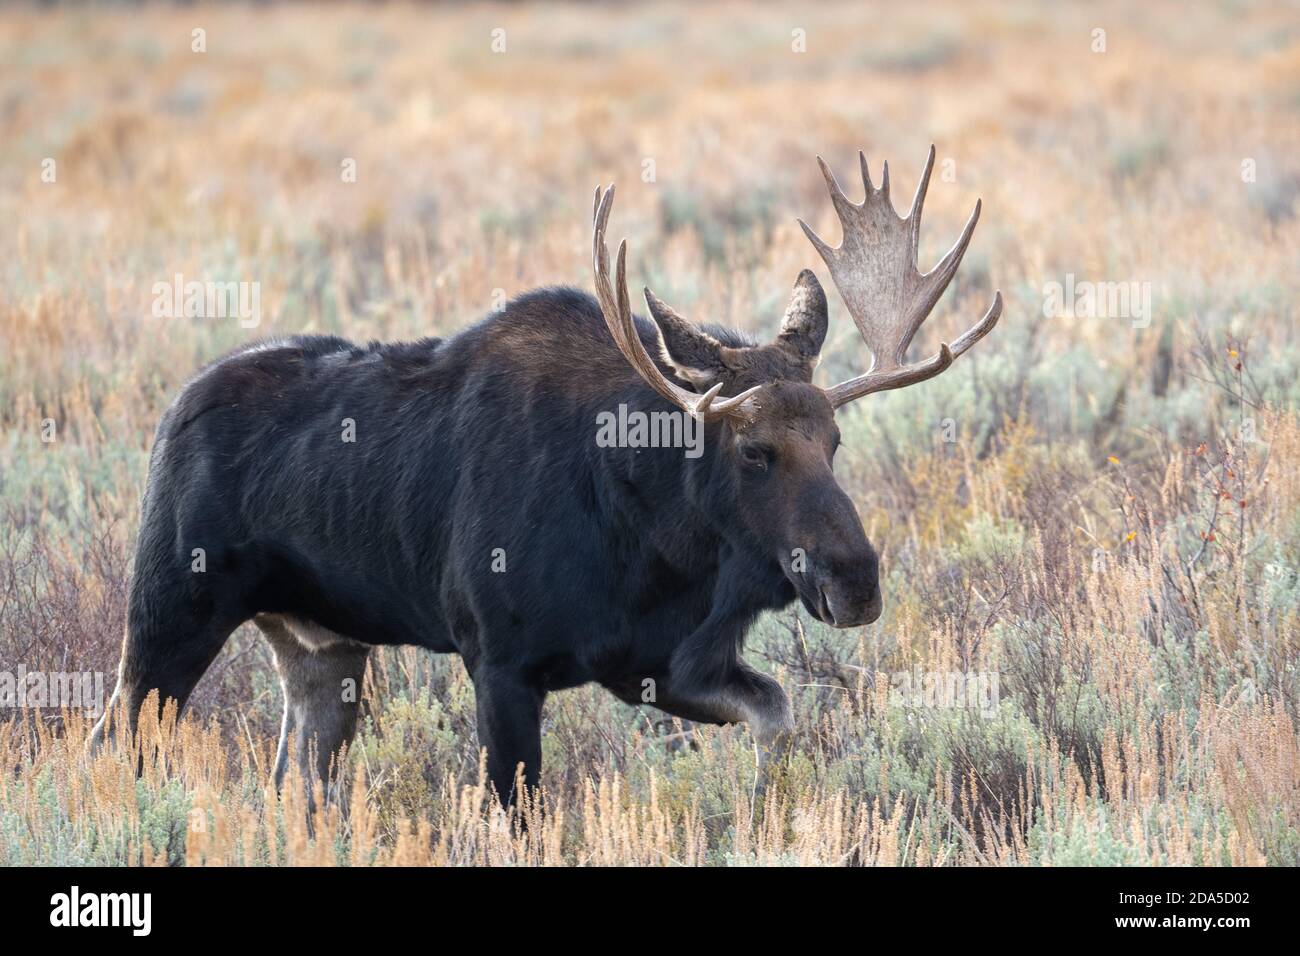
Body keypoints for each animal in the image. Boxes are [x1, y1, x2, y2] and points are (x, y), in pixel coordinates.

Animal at [90, 147, 1001, 807]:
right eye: (754, 452)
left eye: (837, 440)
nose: (856, 580)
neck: (653, 538)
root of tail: (171, 411)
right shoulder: (499, 660)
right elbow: (516, 812)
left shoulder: (658, 662)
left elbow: (776, 715)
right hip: (172, 608)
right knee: (110, 740)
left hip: (322, 645)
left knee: (294, 784)